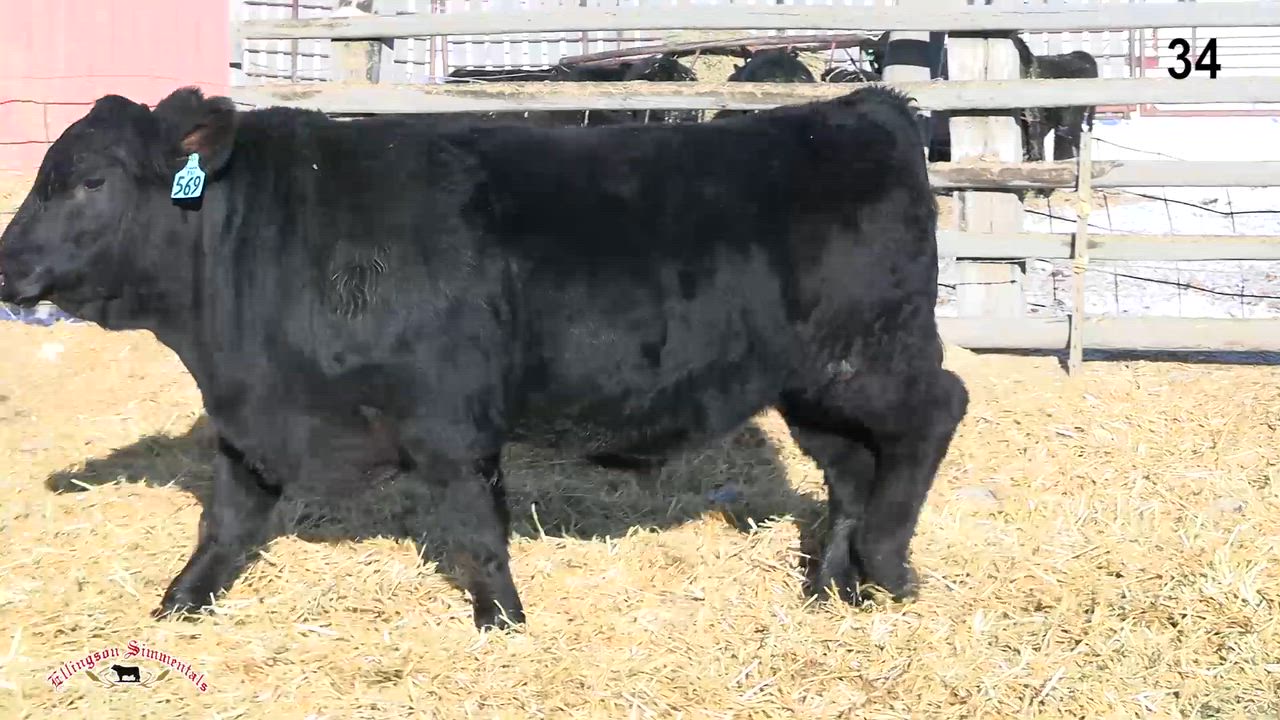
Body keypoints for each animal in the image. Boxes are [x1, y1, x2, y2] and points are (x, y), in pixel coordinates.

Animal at [0, 84, 969, 632]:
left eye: (88, 182)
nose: (8, 262)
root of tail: (861, 109)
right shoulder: (253, 426)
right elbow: (225, 528)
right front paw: (175, 607)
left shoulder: (450, 421)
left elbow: (478, 533)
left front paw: (502, 623)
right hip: (813, 387)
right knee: (852, 473)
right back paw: (834, 585)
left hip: (875, 355)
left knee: (935, 414)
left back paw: (887, 566)